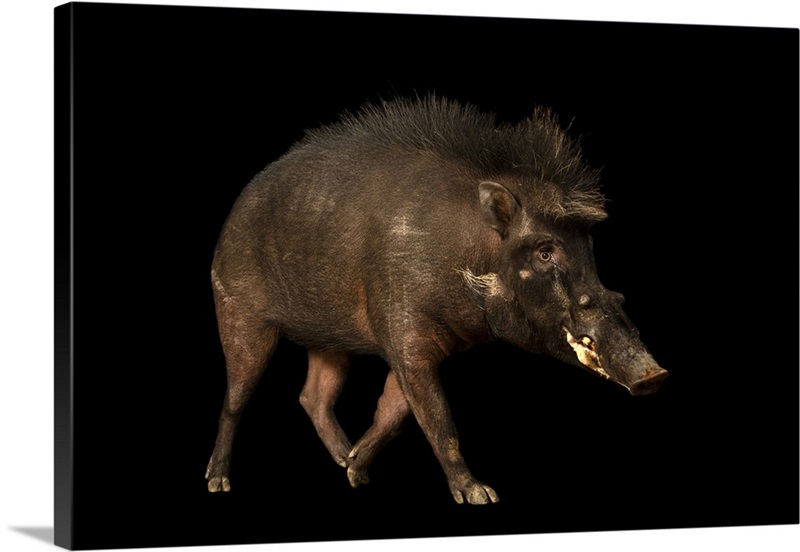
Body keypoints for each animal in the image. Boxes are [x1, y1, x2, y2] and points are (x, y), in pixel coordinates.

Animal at [205, 96, 667, 505]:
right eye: (544, 253)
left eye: (589, 248)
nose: (654, 375)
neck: (470, 253)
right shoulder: (405, 333)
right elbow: (438, 418)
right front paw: (481, 496)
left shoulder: (420, 345)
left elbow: (395, 412)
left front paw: (356, 471)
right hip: (238, 310)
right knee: (236, 396)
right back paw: (217, 483)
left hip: (328, 338)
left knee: (313, 395)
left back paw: (341, 459)